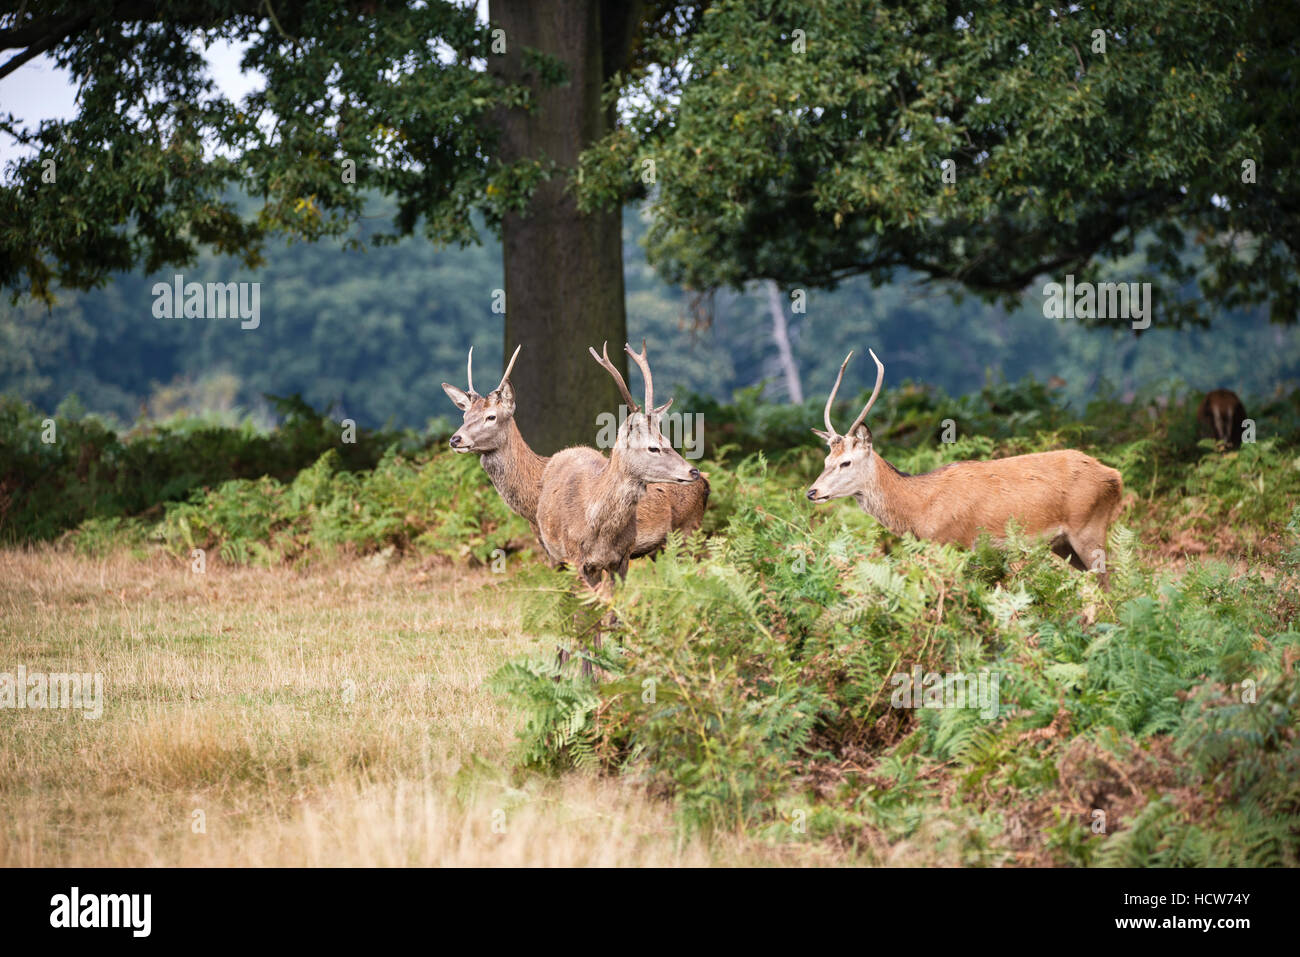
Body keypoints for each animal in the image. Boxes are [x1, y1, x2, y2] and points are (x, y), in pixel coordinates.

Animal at [441, 346, 709, 560]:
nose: (456, 439)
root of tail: (705, 483)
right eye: (464, 416)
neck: (532, 501)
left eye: (491, 416)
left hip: (688, 530)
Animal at [535, 342, 702, 673]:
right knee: (565, 608)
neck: (596, 525)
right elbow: (586, 617)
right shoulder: (578, 560)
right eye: (653, 447)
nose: (693, 471)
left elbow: (613, 614)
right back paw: (561, 669)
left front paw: (613, 666)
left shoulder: (621, 559)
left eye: (668, 439)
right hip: (553, 556)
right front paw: (590, 676)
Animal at [807, 349, 1124, 582]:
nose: (812, 491)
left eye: (846, 462)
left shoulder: (955, 544)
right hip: (1063, 544)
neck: (920, 510)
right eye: (826, 460)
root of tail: (1115, 476)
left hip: (1088, 529)